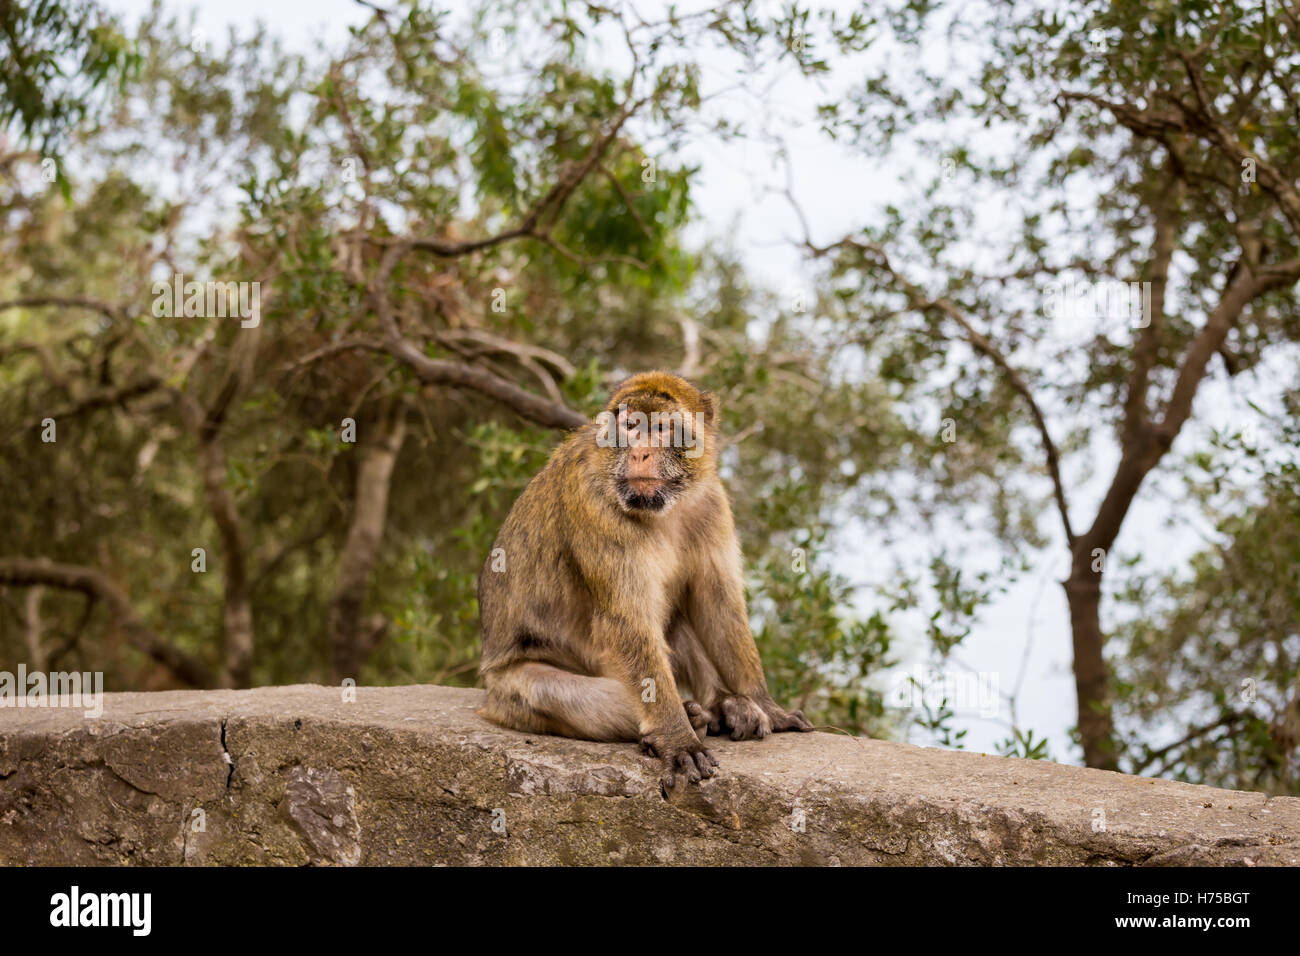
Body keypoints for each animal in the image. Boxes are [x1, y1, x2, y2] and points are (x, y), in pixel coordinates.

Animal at [477, 370, 813, 789]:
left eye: (664, 428)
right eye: (631, 426)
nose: (639, 453)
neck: (665, 509)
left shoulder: (711, 502)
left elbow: (718, 605)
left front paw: (763, 702)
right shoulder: (593, 503)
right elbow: (628, 623)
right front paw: (677, 737)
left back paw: (723, 704)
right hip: (507, 690)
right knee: (557, 695)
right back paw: (690, 717)